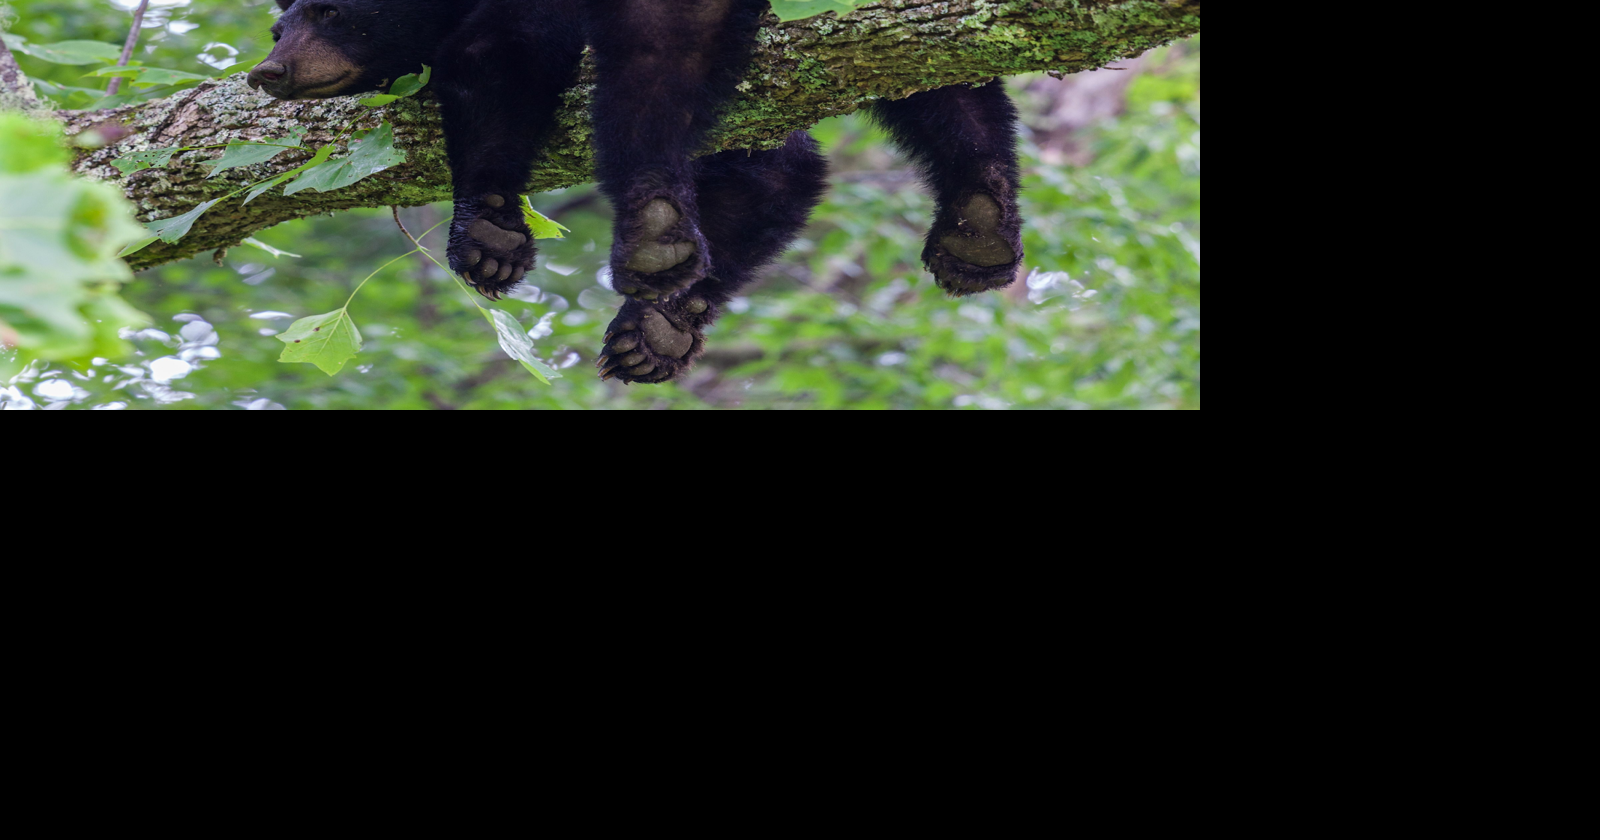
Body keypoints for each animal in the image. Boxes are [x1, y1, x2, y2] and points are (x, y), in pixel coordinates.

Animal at [249, 0, 1024, 385]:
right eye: (278, 25)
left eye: (335, 12)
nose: (268, 70)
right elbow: (774, 173)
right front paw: (659, 327)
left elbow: (499, 54)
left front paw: (490, 233)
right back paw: (979, 223)